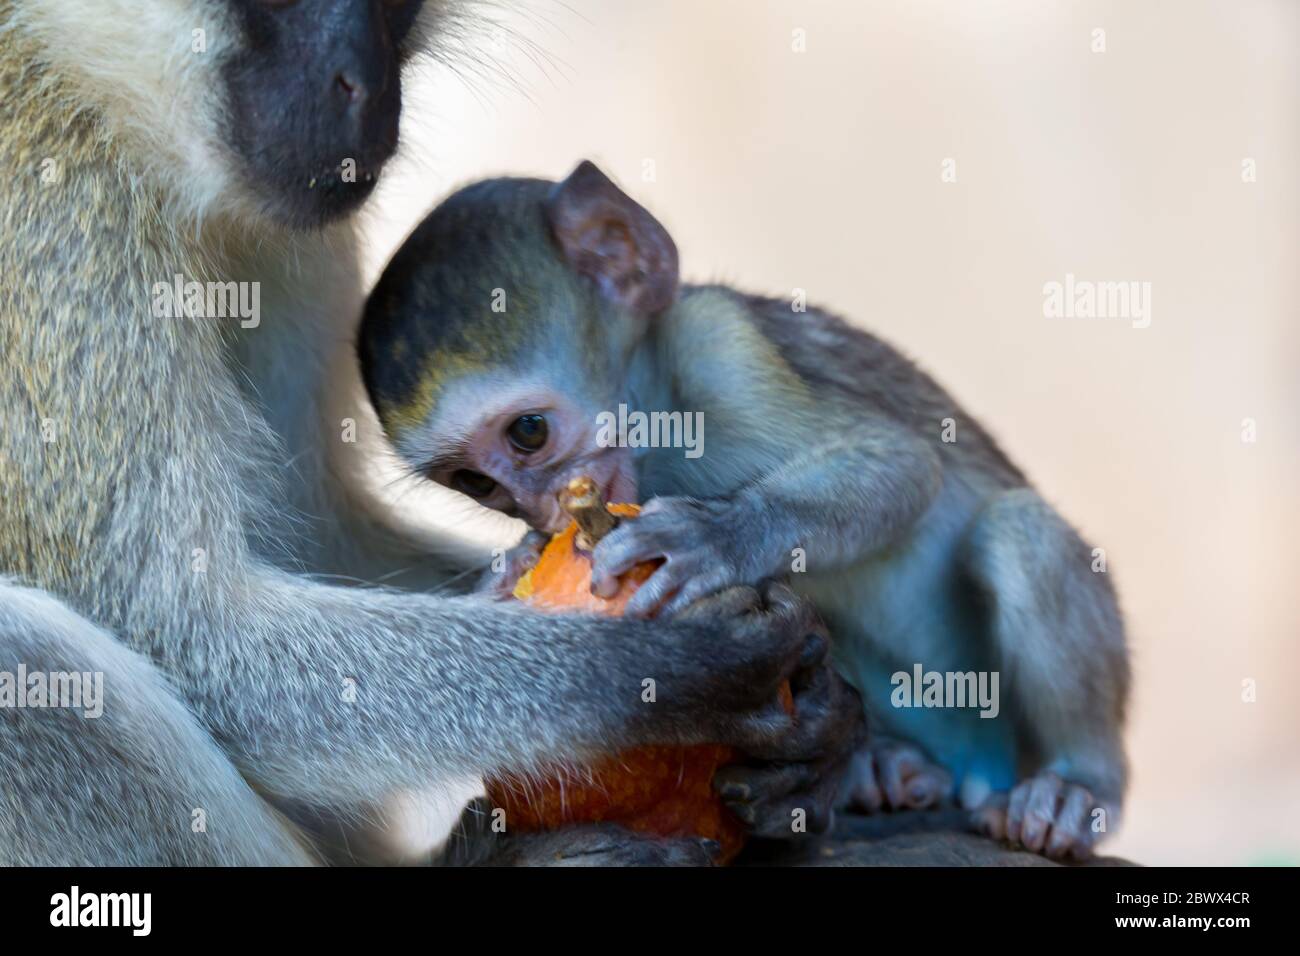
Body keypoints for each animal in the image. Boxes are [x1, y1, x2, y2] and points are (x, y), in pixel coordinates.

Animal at [0, 1, 861, 866]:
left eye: (391, 10)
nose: (369, 89)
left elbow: (311, 543)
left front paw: (832, 703)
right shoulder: (55, 224)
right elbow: (194, 635)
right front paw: (685, 668)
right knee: (25, 660)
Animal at [357, 160, 1132, 861]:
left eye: (528, 433)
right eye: (475, 483)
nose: (544, 510)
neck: (661, 421)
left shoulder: (721, 346)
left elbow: (901, 465)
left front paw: (716, 536)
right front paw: (511, 565)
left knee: (1019, 532)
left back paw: (1078, 786)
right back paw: (888, 763)